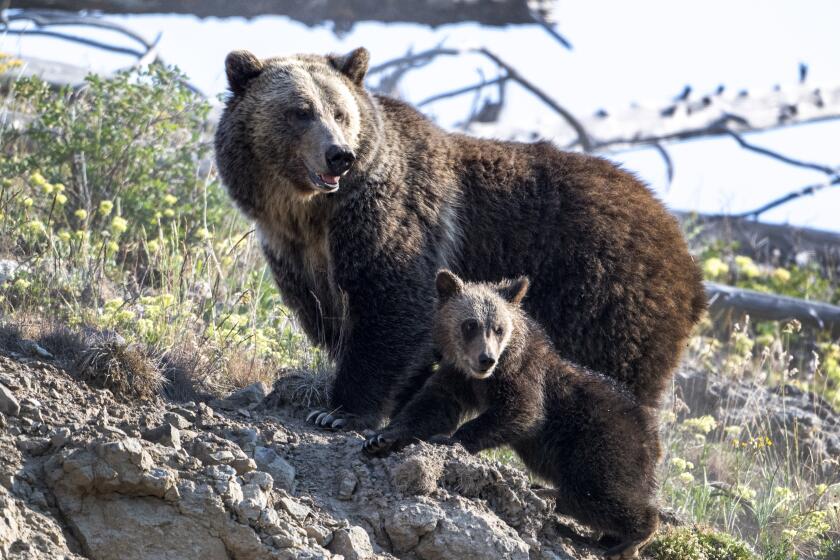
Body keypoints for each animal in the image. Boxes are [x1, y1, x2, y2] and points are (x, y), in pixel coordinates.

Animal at [213, 46, 706, 430]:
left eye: (339, 111)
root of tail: (686, 254)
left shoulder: (393, 221)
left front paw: (341, 410)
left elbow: (390, 307)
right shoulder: (297, 252)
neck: (312, 211)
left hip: (607, 295)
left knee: (616, 375)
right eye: (300, 111)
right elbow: (332, 315)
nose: (340, 155)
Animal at [363, 270, 661, 560]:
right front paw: (380, 438)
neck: (488, 377)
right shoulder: (459, 377)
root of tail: (651, 436)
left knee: (598, 492)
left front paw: (448, 440)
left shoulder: (525, 377)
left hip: (601, 444)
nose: (486, 359)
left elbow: (521, 411)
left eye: (498, 328)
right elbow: (431, 406)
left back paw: (631, 537)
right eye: (470, 324)